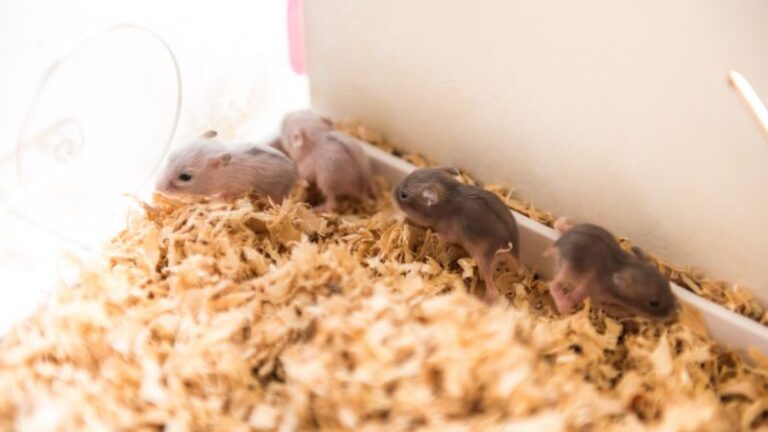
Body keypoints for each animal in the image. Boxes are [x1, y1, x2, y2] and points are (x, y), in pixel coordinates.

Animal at [155, 130, 298, 202]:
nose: (157, 188)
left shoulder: (237, 186)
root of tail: (295, 171)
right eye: (171, 155)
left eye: (185, 177)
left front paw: (215, 198)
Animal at [394, 167, 521, 303]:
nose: (392, 191)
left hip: (483, 259)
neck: (447, 197)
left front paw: (433, 237)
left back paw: (481, 300)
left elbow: (441, 237)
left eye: (403, 195)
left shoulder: (447, 233)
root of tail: (514, 251)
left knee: (493, 289)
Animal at [547, 217, 676, 319]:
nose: (673, 315)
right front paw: (570, 306)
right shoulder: (588, 287)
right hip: (567, 270)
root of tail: (559, 242)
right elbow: (576, 295)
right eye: (653, 303)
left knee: (558, 223)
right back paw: (564, 307)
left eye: (668, 286)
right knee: (553, 285)